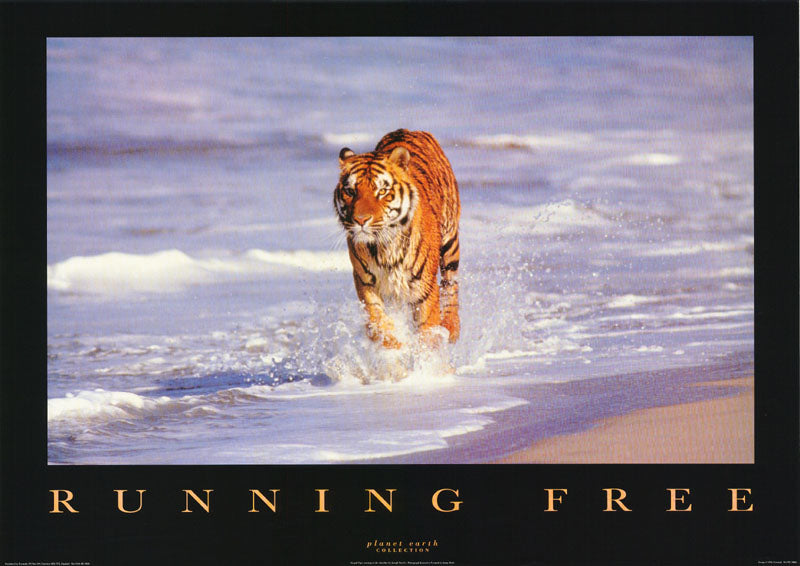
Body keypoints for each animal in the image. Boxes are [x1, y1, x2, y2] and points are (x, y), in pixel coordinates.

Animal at [334, 129, 461, 349]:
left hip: (450, 243)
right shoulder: (366, 282)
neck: (384, 246)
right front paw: (393, 346)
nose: (360, 220)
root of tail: (409, 130)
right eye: (350, 191)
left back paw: (452, 329)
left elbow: (427, 332)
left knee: (450, 284)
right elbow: (377, 321)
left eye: (382, 191)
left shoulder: (424, 290)